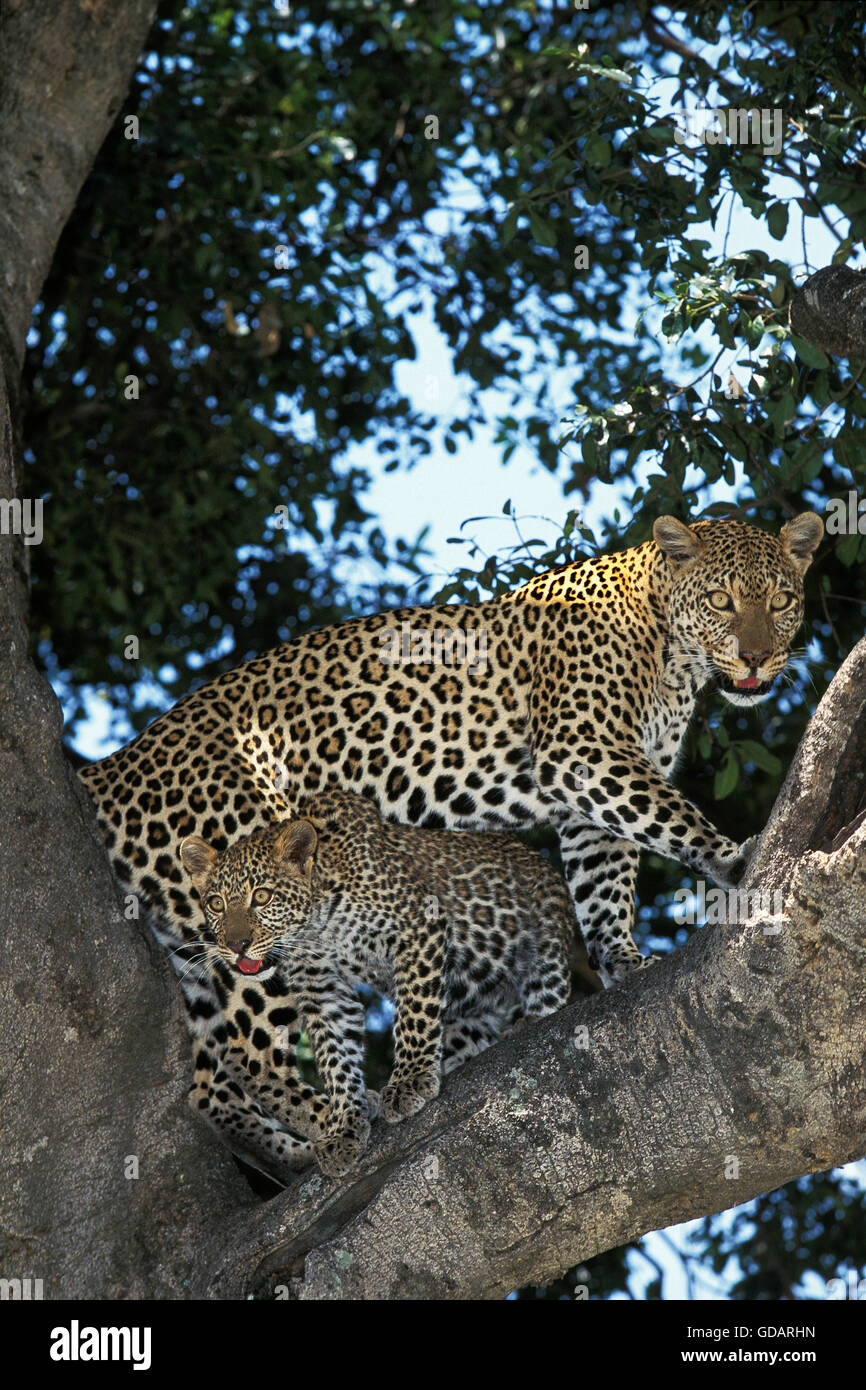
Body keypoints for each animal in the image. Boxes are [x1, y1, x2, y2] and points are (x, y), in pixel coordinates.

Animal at [179, 787, 574, 1175]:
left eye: (262, 896)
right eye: (216, 904)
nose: (235, 946)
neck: (316, 926)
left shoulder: (418, 928)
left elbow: (414, 1014)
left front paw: (408, 1080)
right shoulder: (322, 988)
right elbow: (335, 1055)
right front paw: (343, 1127)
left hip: (546, 938)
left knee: (548, 989)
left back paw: (527, 1020)